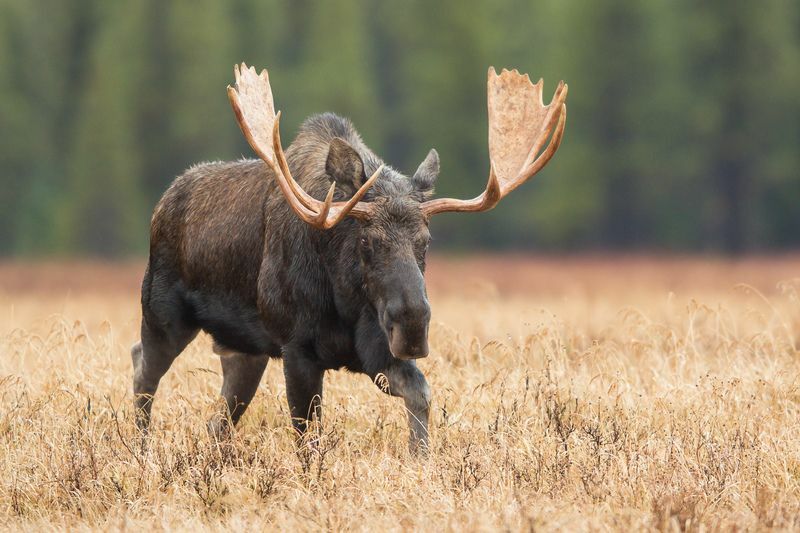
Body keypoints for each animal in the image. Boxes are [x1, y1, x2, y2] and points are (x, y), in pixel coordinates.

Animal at [131, 63, 564, 454]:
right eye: (367, 241)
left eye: (425, 240)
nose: (412, 326)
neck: (342, 298)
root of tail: (162, 202)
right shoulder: (297, 347)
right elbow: (309, 437)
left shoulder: (375, 348)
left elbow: (421, 395)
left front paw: (421, 460)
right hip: (163, 314)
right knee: (143, 370)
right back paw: (141, 450)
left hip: (244, 349)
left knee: (218, 417)